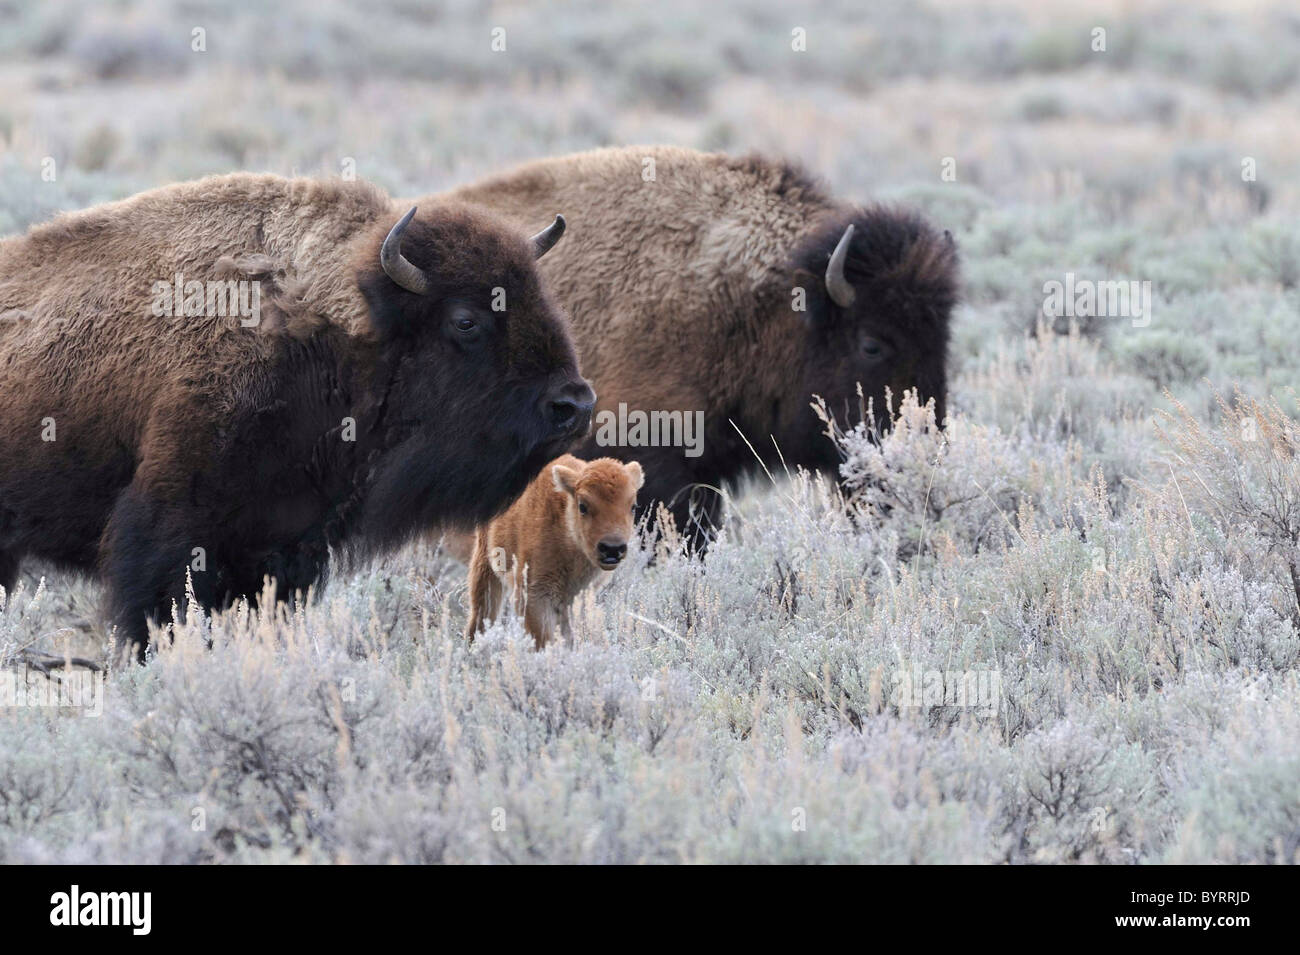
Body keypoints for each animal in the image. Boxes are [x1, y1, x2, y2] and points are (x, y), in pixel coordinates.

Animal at [465, 454, 643, 648]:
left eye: (633, 506)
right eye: (582, 506)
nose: (612, 548)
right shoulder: (535, 595)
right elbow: (543, 640)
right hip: (486, 565)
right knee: (482, 614)